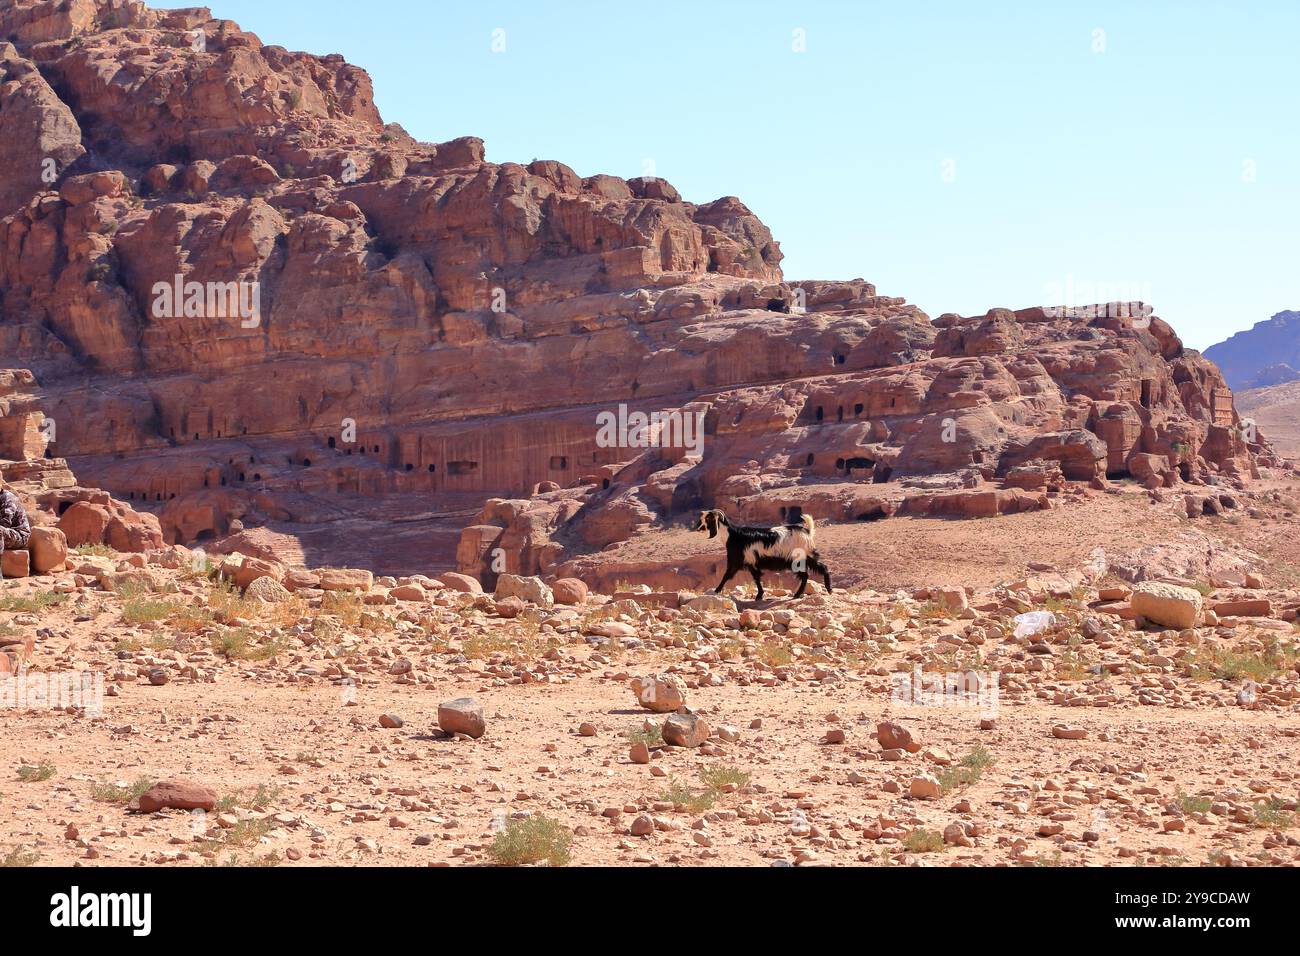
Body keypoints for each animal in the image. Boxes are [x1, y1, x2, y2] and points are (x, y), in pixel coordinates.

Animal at [694, 509, 833, 600]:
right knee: (814, 571)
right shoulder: (750, 563)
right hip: (805, 557)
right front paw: (760, 595)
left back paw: (813, 592)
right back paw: (812, 592)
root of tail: (807, 531)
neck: (733, 535)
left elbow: (727, 576)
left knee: (811, 572)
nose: (698, 528)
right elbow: (756, 578)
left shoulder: (737, 561)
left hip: (798, 558)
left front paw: (716, 591)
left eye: (708, 519)